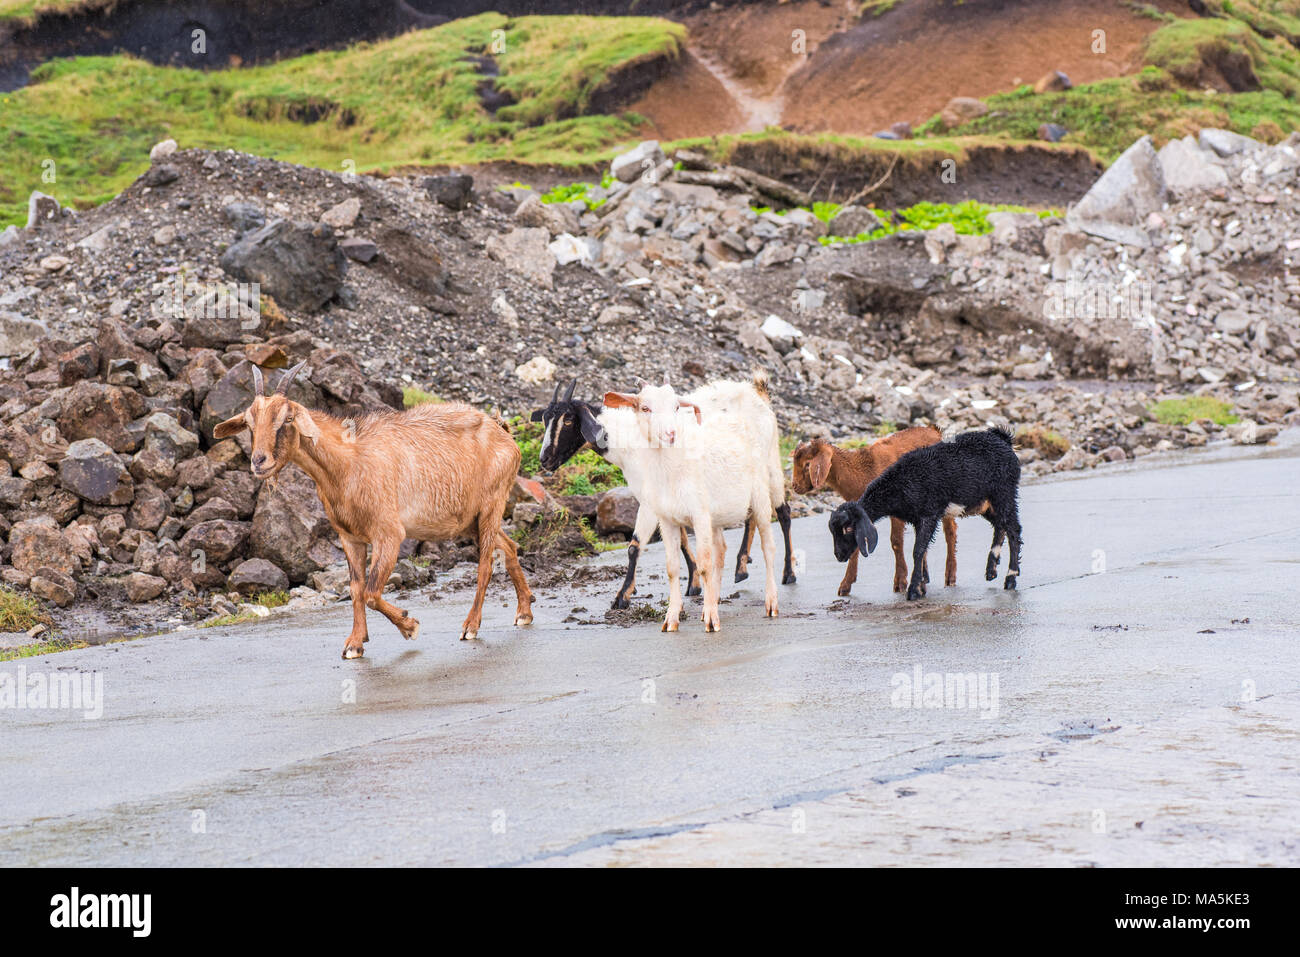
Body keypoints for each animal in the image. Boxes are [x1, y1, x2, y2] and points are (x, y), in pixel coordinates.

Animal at [213, 361, 533, 659]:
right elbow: (356, 589)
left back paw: (471, 626)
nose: (259, 461)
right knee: (509, 546)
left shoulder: (389, 534)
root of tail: (504, 433)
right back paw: (524, 612)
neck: (346, 464)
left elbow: (371, 592)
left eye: (287, 419)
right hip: (469, 520)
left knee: (486, 563)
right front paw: (356, 643)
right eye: (249, 423)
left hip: (492, 503)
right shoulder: (350, 537)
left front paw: (409, 626)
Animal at [531, 378, 794, 611]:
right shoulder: (663, 499)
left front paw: (622, 596)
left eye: (568, 420)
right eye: (544, 419)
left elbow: (634, 546)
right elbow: (682, 540)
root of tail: (757, 391)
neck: (628, 441)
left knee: (782, 511)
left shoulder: (651, 501)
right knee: (751, 515)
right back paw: (741, 567)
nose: (545, 459)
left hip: (770, 463)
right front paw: (694, 582)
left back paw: (788, 573)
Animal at [602, 373, 784, 632]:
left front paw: (711, 620)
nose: (670, 434)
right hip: (716, 516)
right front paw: (672, 619)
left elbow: (704, 565)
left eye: (676, 407)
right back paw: (713, 601)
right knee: (721, 551)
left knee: (768, 547)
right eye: (645, 407)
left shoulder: (699, 515)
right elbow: (672, 568)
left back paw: (771, 603)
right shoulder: (666, 519)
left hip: (760, 494)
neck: (673, 470)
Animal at [791, 428, 959, 595]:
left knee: (950, 531)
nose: (794, 487)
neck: (860, 473)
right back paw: (925, 577)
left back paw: (950, 576)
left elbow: (896, 542)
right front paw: (846, 584)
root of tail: (934, 430)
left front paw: (900, 581)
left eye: (808, 464)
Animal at [828, 427, 1022, 601]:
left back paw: (1011, 577)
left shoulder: (928, 514)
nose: (838, 555)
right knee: (1000, 525)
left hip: (1003, 491)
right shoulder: (917, 519)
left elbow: (918, 551)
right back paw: (991, 570)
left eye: (848, 529)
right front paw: (921, 587)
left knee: (1013, 529)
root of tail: (1002, 438)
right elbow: (921, 551)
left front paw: (914, 590)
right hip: (983, 502)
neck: (900, 483)